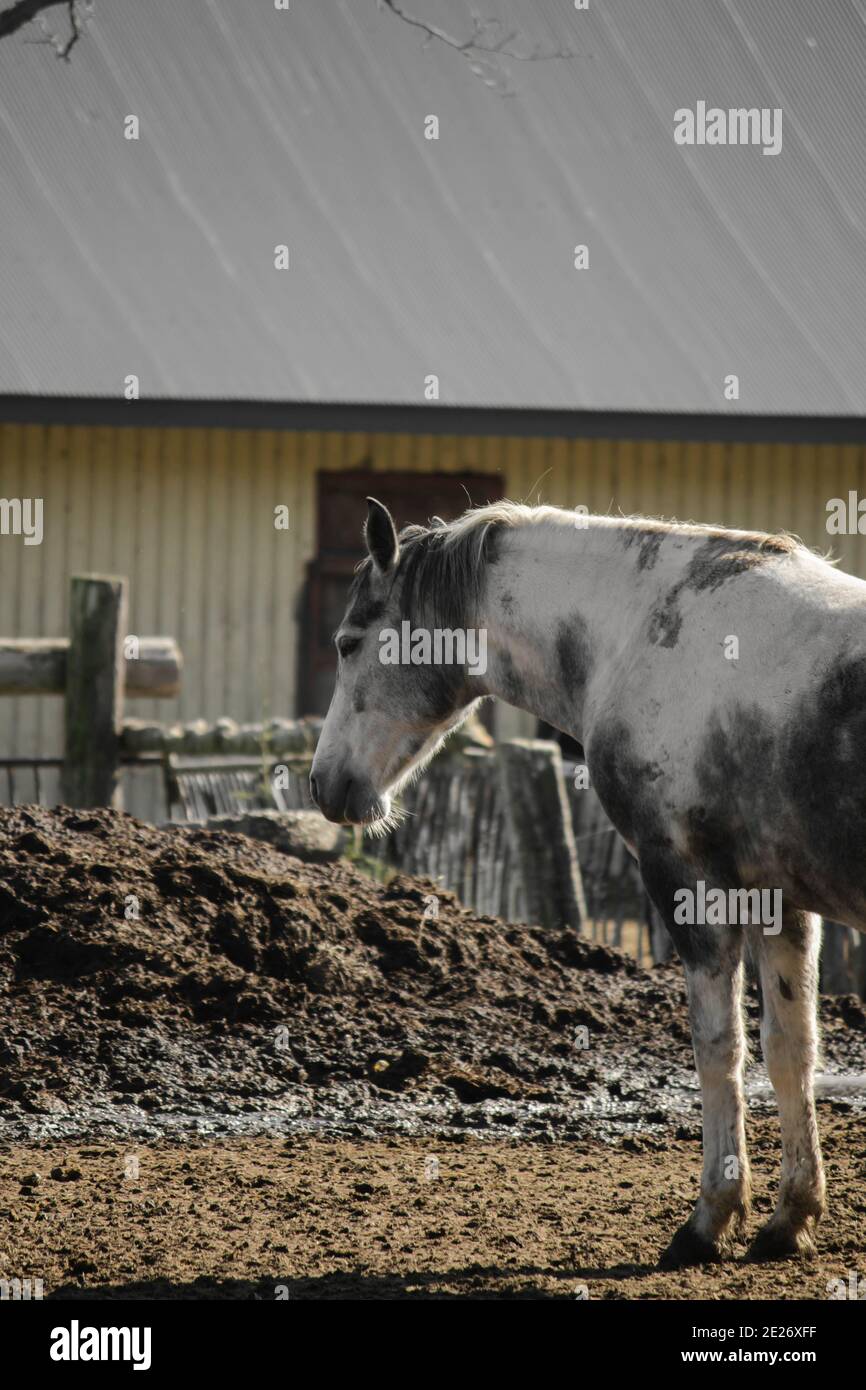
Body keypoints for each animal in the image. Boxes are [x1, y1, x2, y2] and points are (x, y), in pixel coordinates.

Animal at [310, 495, 866, 1267]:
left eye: (348, 642)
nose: (324, 785)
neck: (642, 632)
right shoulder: (778, 901)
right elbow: (791, 1050)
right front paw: (790, 1218)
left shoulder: (689, 883)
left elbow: (719, 1049)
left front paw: (709, 1220)